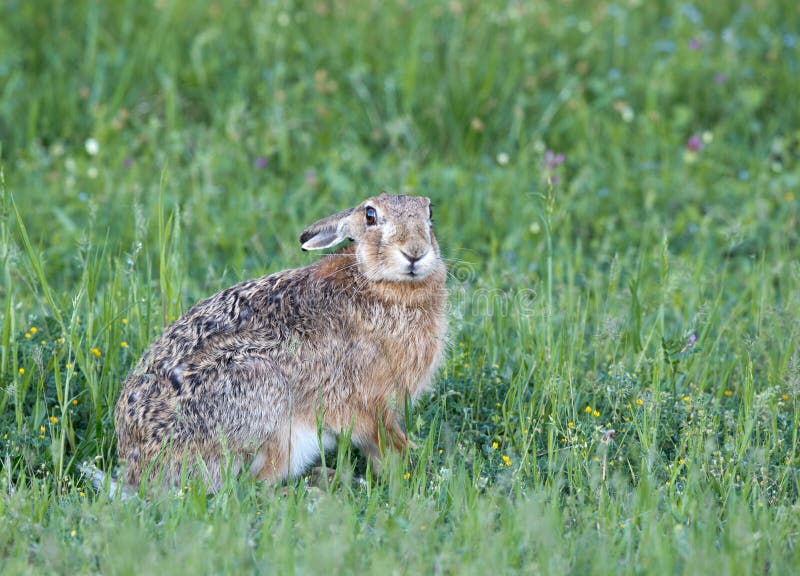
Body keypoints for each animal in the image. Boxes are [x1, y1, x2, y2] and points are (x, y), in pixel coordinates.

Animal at [113, 193, 447, 490]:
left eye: (430, 213)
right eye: (370, 216)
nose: (415, 252)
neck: (374, 281)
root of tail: (138, 466)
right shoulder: (368, 404)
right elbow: (386, 444)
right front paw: (415, 470)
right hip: (271, 416)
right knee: (254, 489)